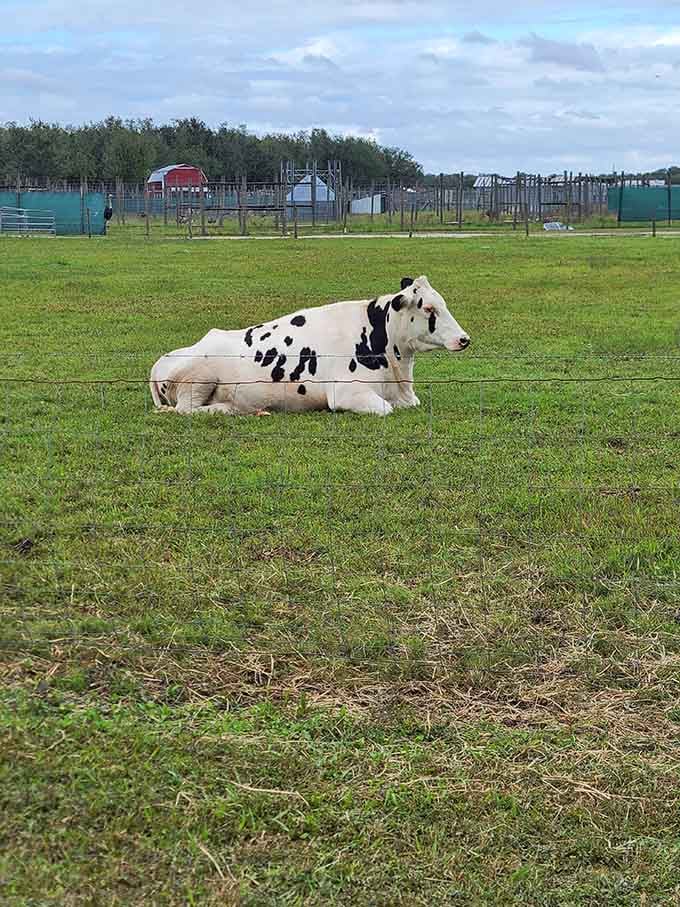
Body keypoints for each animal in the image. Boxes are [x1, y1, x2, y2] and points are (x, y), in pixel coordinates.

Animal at [149, 275, 470, 417]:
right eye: (428, 308)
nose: (464, 338)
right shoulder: (346, 393)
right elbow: (384, 409)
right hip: (198, 379)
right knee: (186, 410)